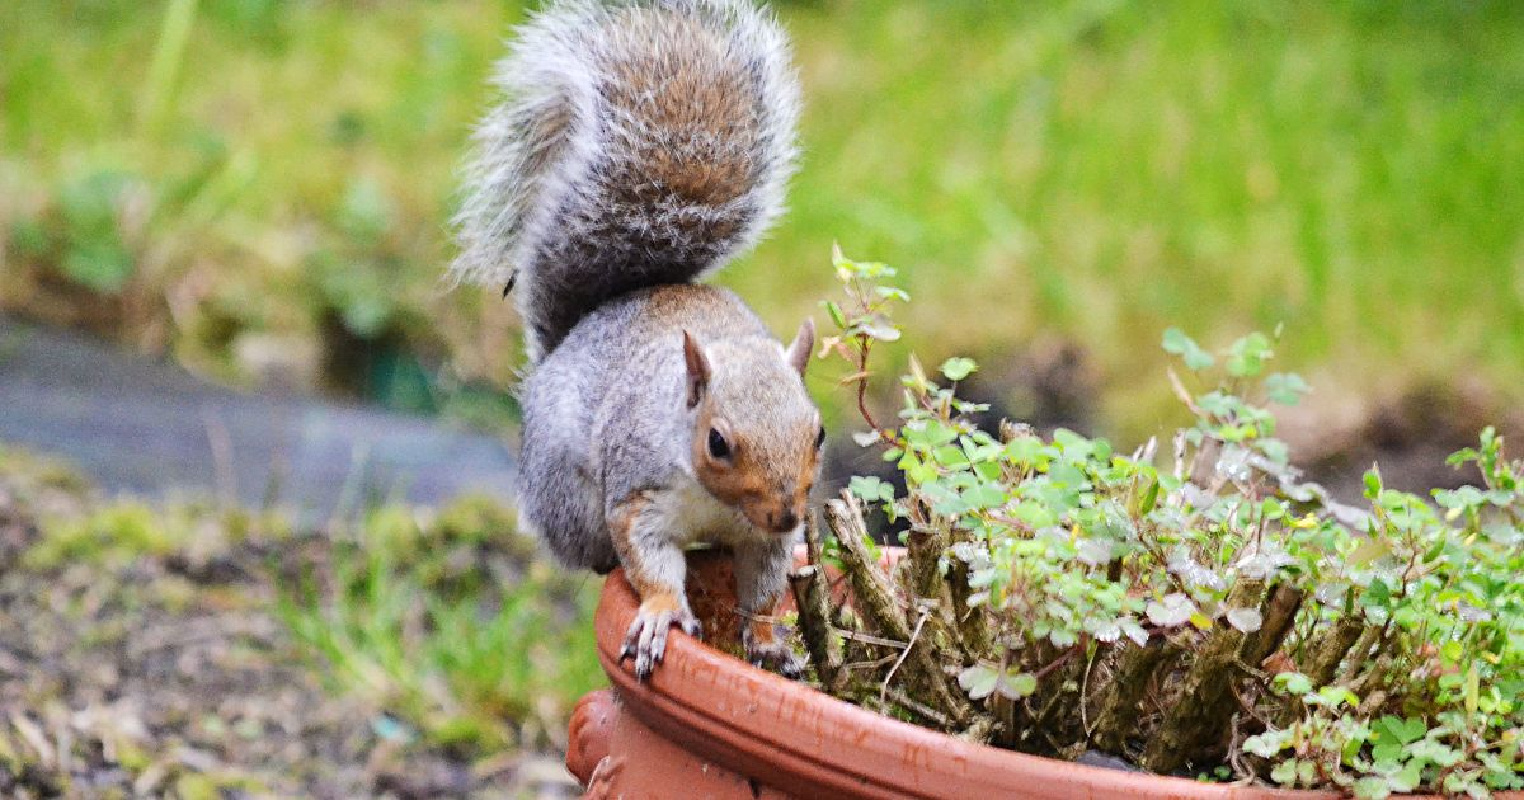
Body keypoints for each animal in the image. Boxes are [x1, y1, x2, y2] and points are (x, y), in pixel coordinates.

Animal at [451, 0, 819, 679]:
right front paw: (660, 616)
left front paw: (766, 642)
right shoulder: (637, 495)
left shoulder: (766, 539)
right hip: (567, 497)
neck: (717, 502)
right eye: (718, 442)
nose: (787, 512)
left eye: (819, 433)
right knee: (593, 552)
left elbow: (763, 588)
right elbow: (650, 562)